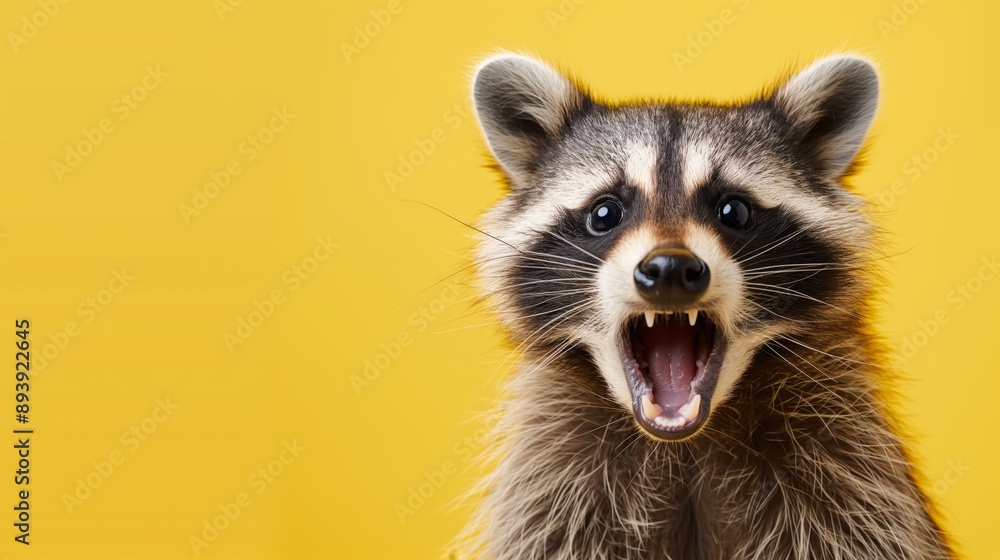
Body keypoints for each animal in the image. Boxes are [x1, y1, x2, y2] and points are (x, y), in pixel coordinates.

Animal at [458, 53, 954, 559]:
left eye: (734, 211)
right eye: (605, 213)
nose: (669, 269)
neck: (682, 444)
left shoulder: (850, 472)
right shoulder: (553, 483)